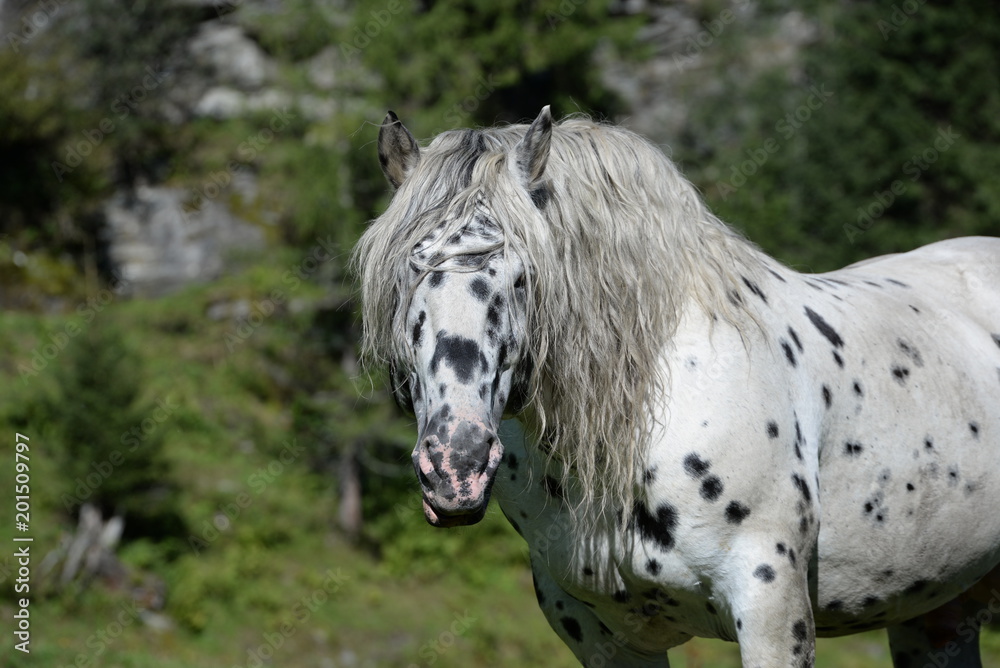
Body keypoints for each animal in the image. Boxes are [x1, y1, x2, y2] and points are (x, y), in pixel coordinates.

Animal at [352, 106, 1000, 667]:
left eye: (522, 278)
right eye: (408, 271)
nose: (455, 466)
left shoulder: (770, 608)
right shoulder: (598, 633)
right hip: (935, 609)